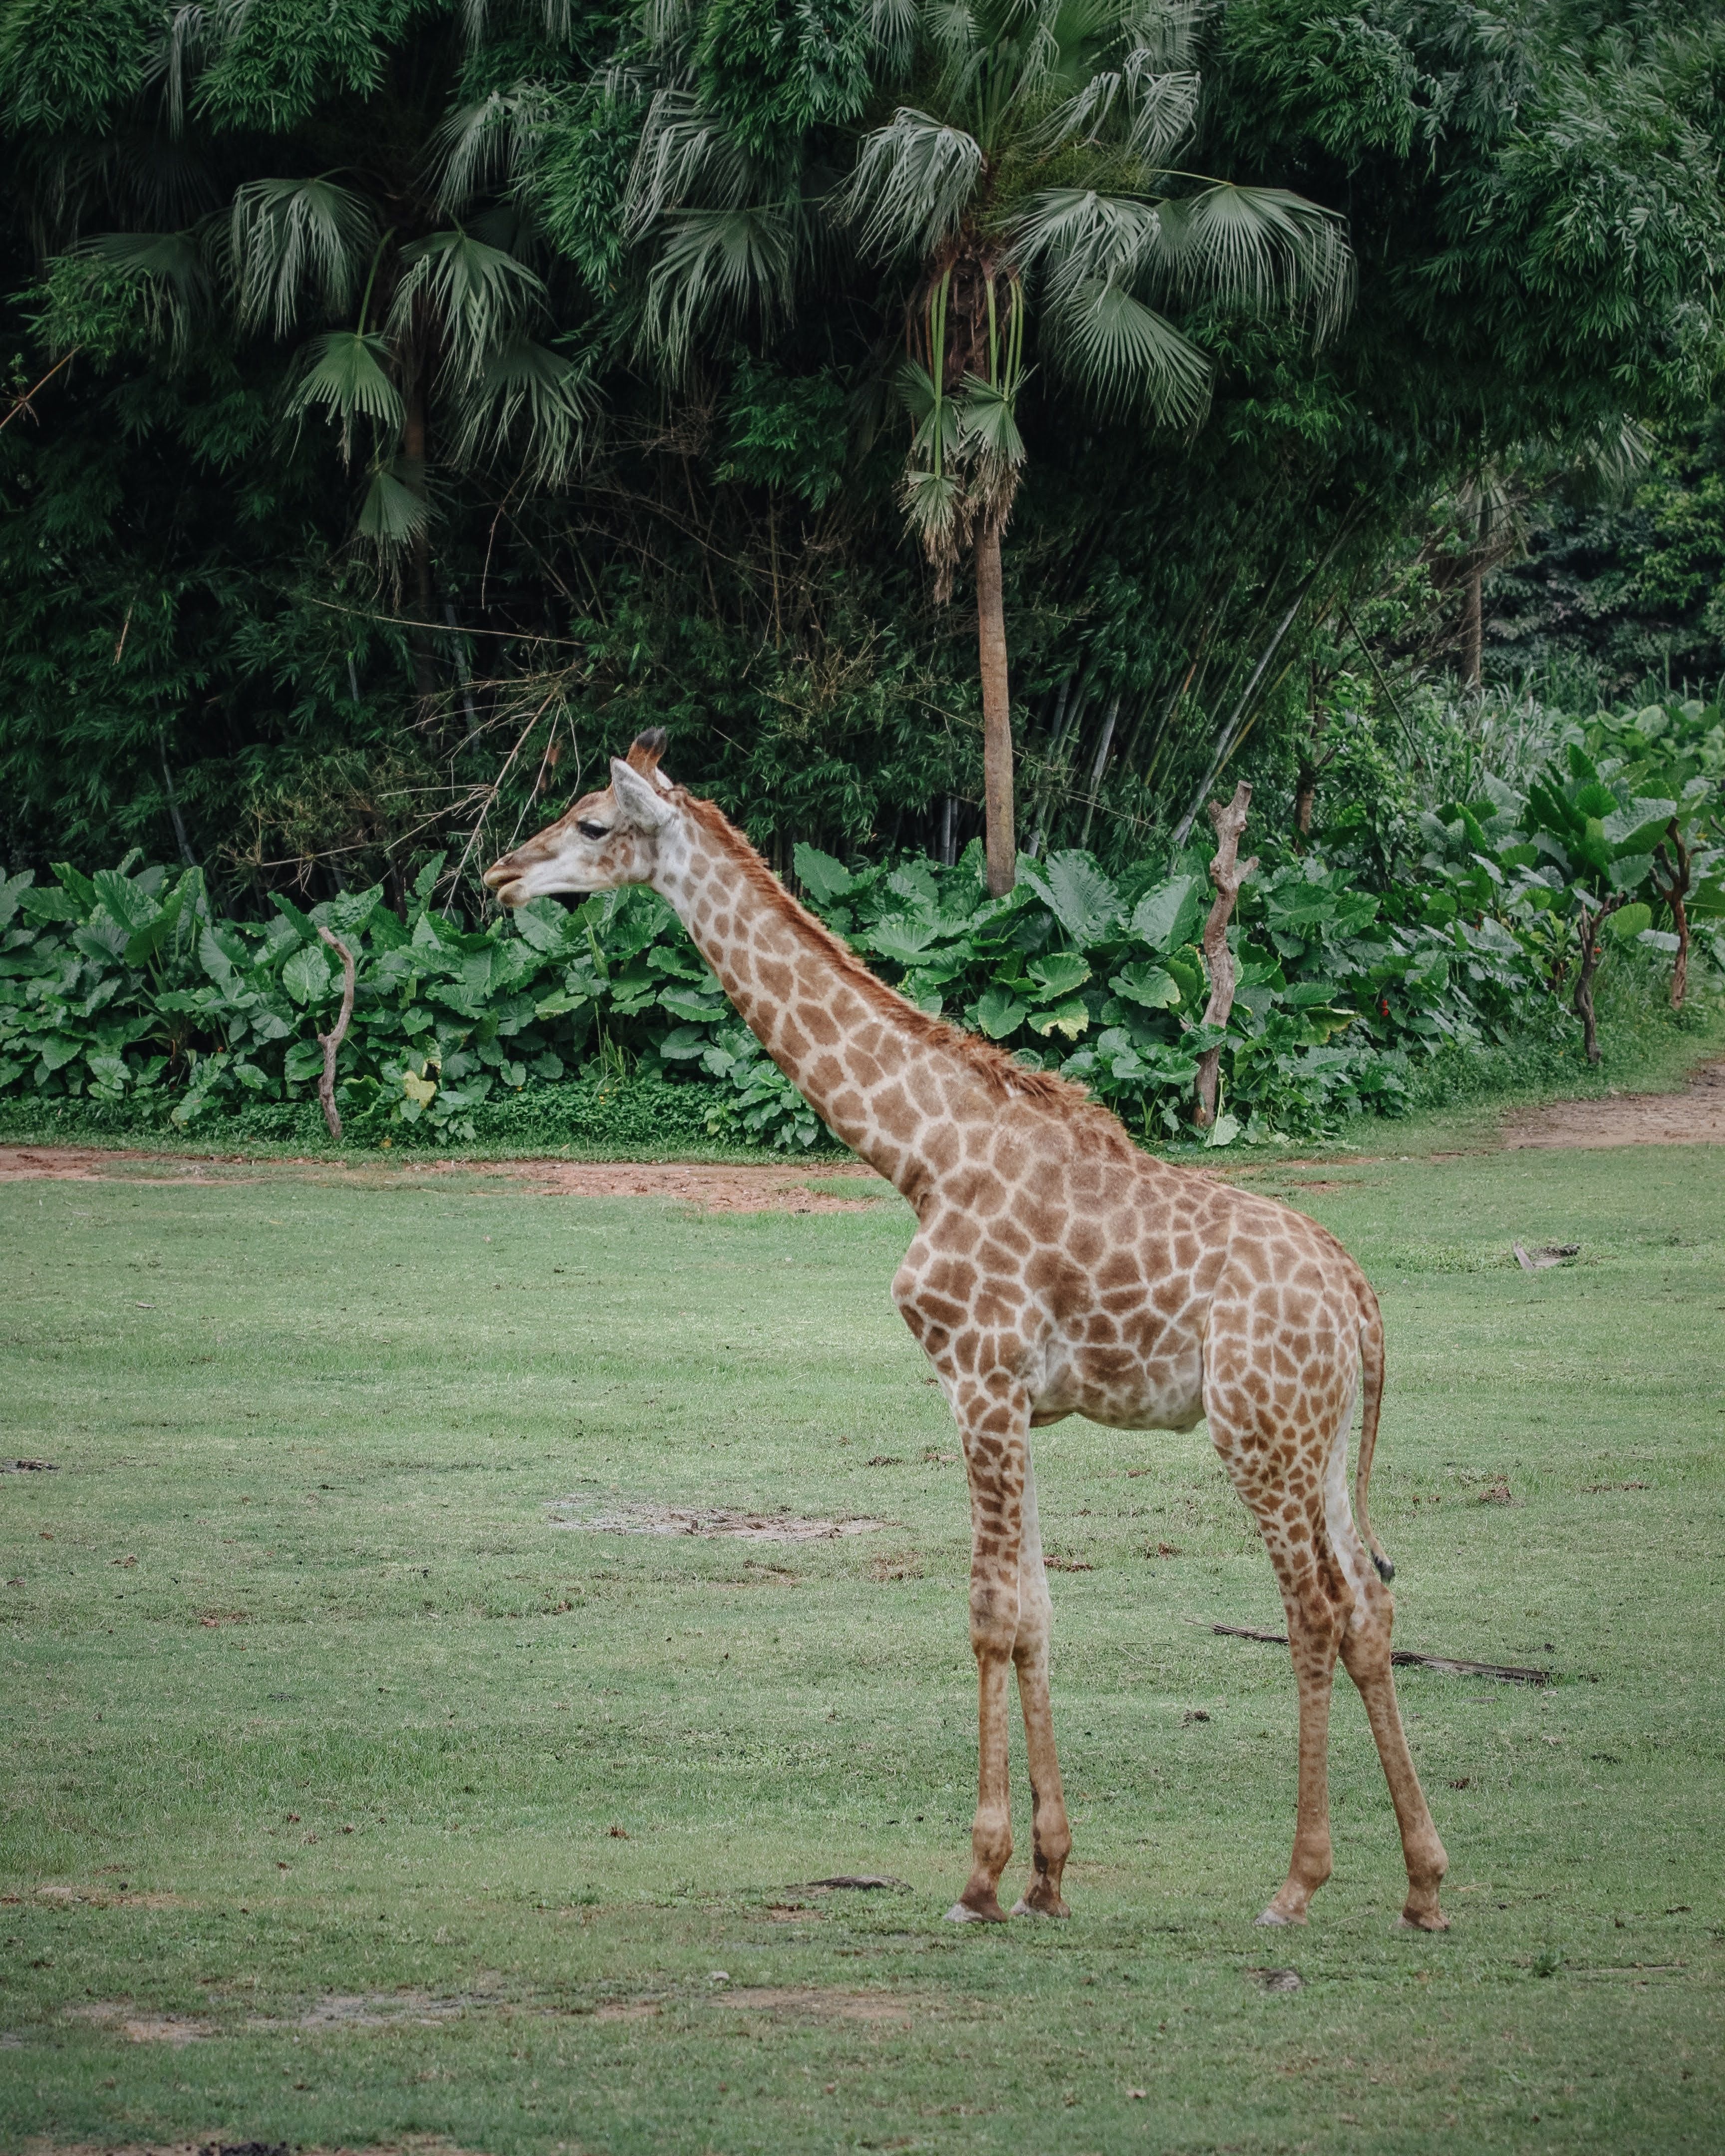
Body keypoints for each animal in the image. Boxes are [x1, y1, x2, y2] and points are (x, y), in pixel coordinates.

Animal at [485, 730, 1449, 1933]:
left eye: (592, 823)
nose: (498, 876)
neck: (921, 1157)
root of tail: (1359, 1298)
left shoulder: (977, 1379)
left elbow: (990, 1612)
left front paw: (980, 1877)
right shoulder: (1022, 1403)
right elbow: (1036, 1609)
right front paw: (1047, 1875)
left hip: (1257, 1433)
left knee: (1313, 1611)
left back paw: (1296, 1883)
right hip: (1320, 1440)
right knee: (1371, 1605)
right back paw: (1423, 1884)